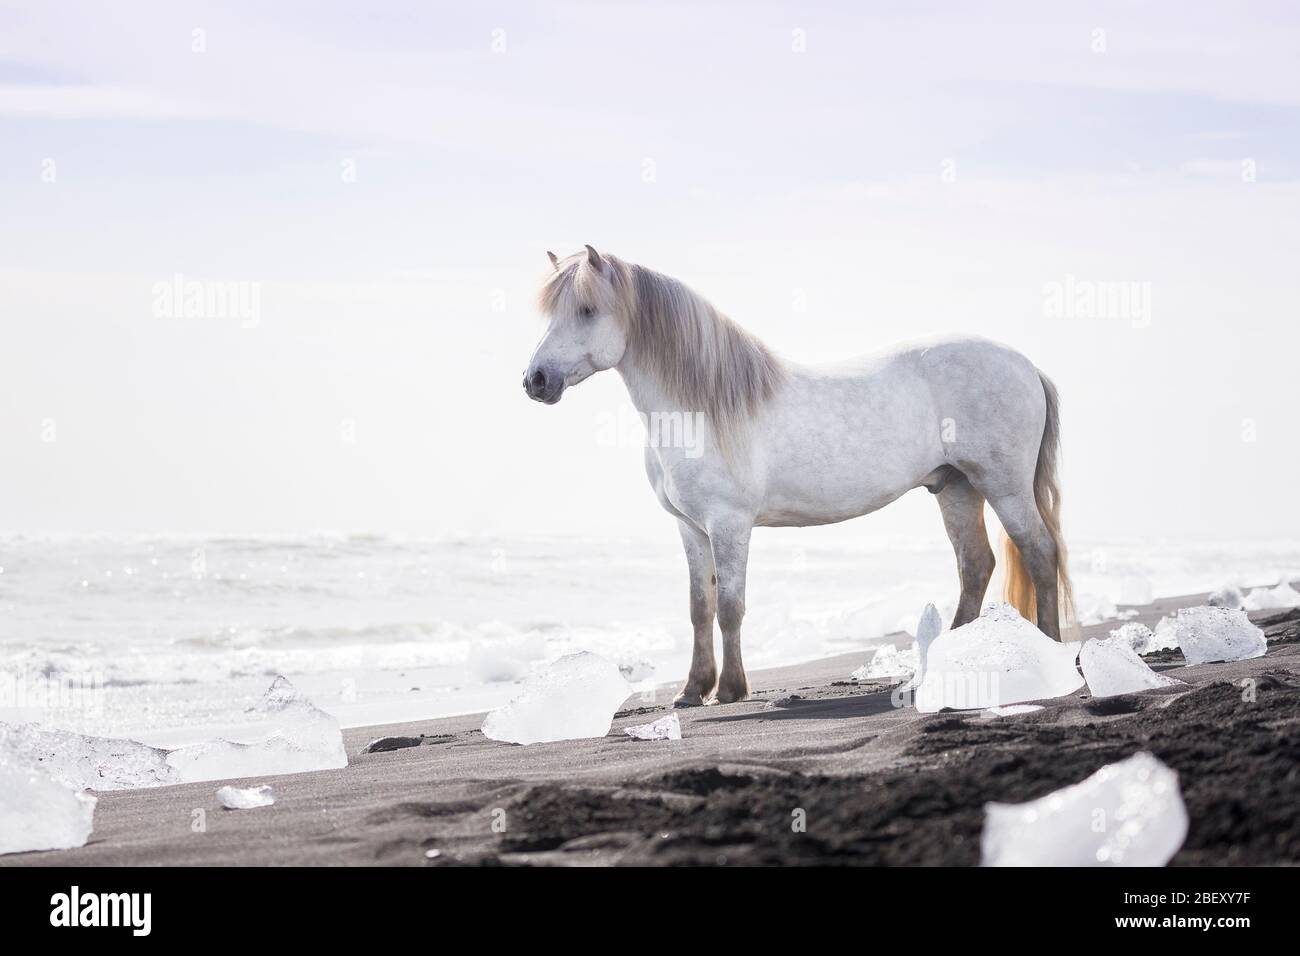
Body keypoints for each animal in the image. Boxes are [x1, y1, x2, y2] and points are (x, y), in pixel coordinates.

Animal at [524, 245, 1074, 706]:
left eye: (587, 310)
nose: (535, 380)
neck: (699, 408)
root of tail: (1026, 365)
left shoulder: (729, 523)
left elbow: (730, 606)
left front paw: (730, 690)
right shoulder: (690, 528)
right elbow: (700, 607)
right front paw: (692, 691)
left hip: (1003, 485)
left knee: (1038, 553)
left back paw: (1048, 653)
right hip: (955, 487)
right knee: (976, 565)